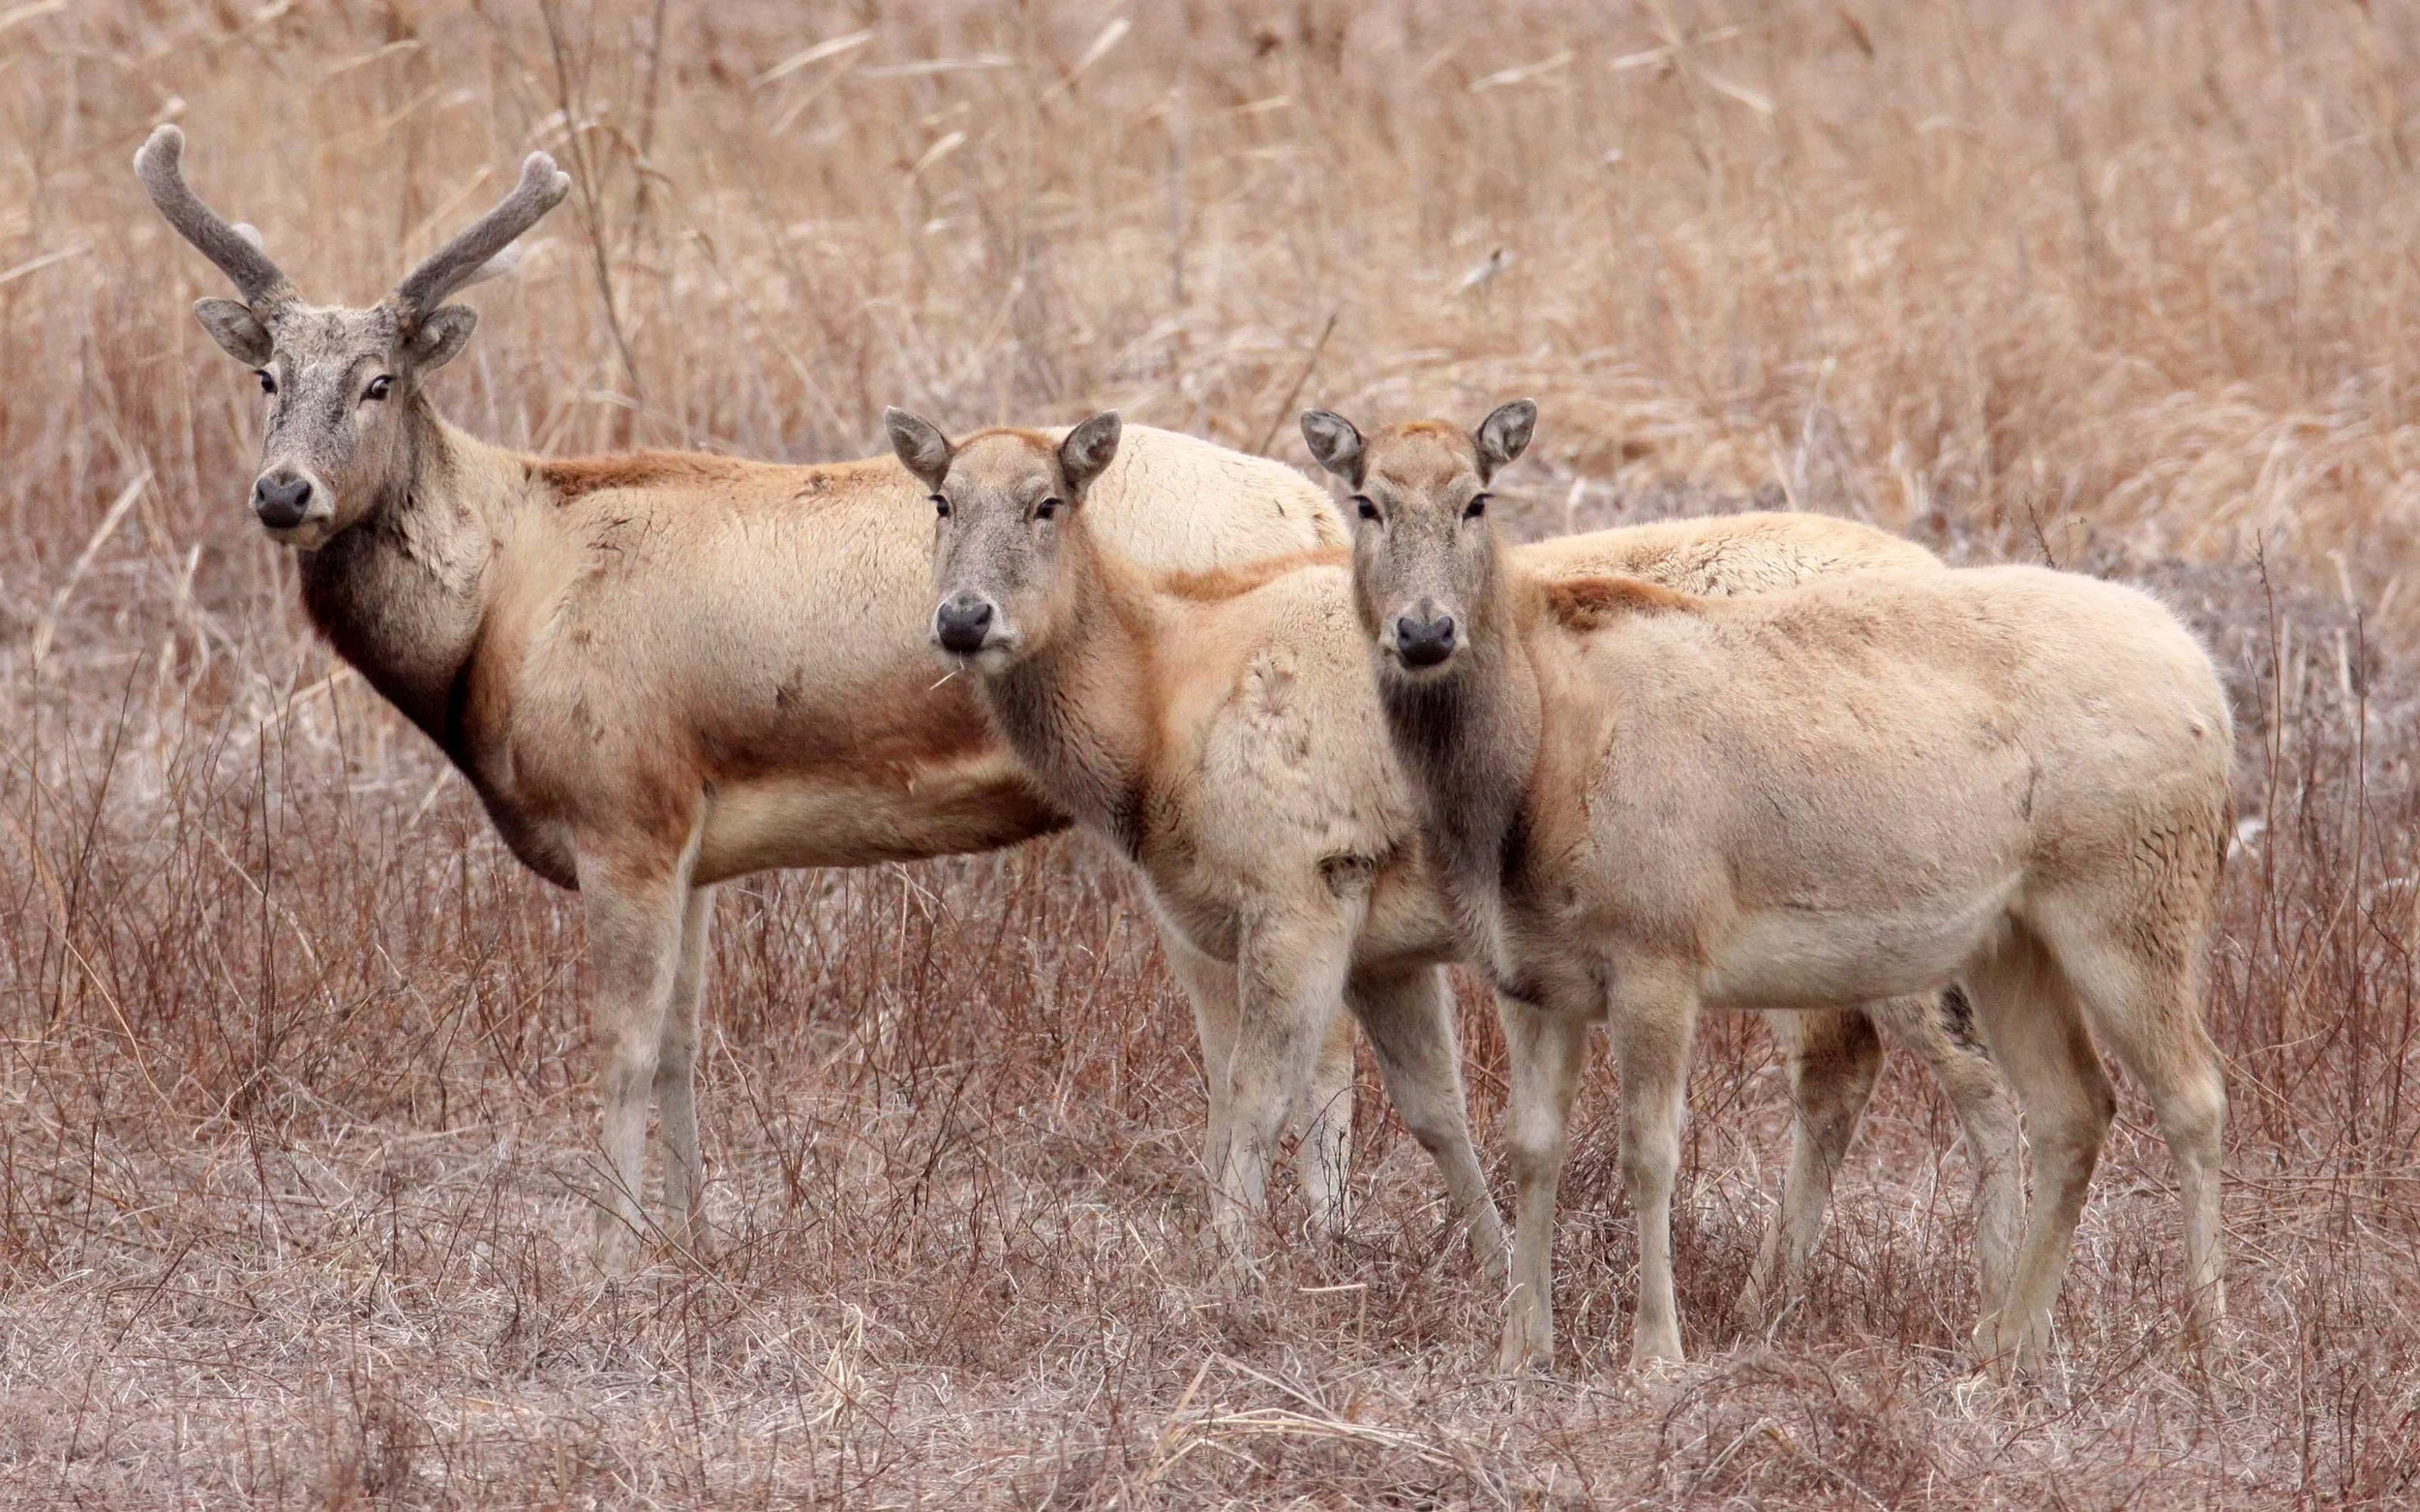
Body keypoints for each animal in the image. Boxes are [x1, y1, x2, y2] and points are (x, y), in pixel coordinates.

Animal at [133, 126, 1361, 1275]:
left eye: (380, 382)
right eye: (267, 377)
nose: (282, 491)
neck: (501, 603)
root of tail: (1318, 512)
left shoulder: (623, 803)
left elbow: (622, 1045)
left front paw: (608, 1255)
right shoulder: (690, 838)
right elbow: (683, 1043)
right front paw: (691, 1239)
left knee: (1306, 1038)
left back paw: (1311, 1240)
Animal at [892, 407, 2021, 1320]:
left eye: (1046, 502)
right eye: (941, 500)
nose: (963, 619)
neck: (1160, 708)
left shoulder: (1303, 879)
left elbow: (1257, 1098)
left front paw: (1227, 1283)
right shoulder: (1375, 944)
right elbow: (1434, 1112)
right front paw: (1494, 1269)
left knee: (1970, 1077)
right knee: (1847, 1065)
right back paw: (1768, 1298)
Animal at [1316, 399, 2233, 1377]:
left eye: (1478, 500)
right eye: (1366, 501)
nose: (1425, 632)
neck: (1529, 784)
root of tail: (2212, 693)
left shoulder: (1659, 947)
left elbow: (1650, 1152)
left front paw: (1657, 1354)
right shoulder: (1526, 978)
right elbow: (1530, 1148)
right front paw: (1522, 1349)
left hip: (2133, 897)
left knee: (2193, 1094)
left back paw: (2205, 1337)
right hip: (2011, 939)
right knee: (2073, 1107)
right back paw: (2009, 1347)